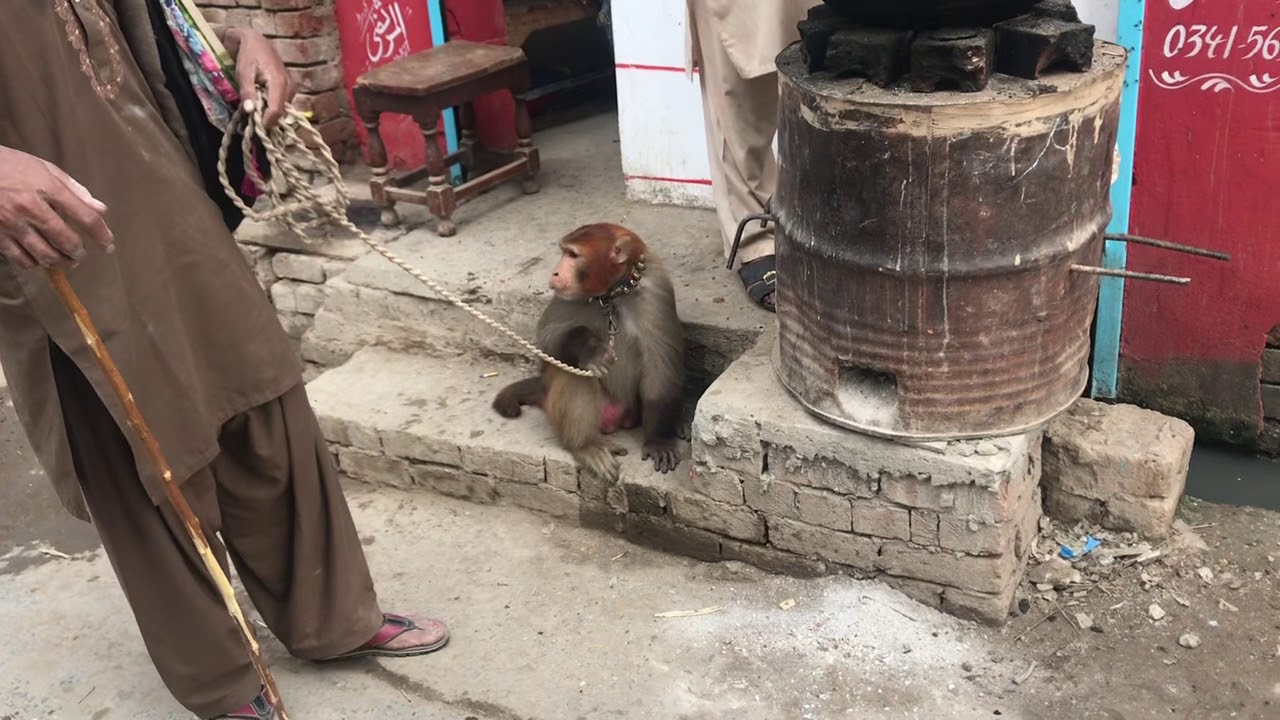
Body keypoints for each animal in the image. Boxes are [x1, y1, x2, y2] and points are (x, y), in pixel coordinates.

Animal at [492, 223, 686, 480]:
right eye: (564, 252)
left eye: (573, 255)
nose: (555, 273)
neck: (612, 294)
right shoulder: (567, 297)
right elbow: (548, 340)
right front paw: (591, 349)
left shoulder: (655, 293)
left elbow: (660, 365)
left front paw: (658, 440)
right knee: (574, 371)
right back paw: (586, 446)